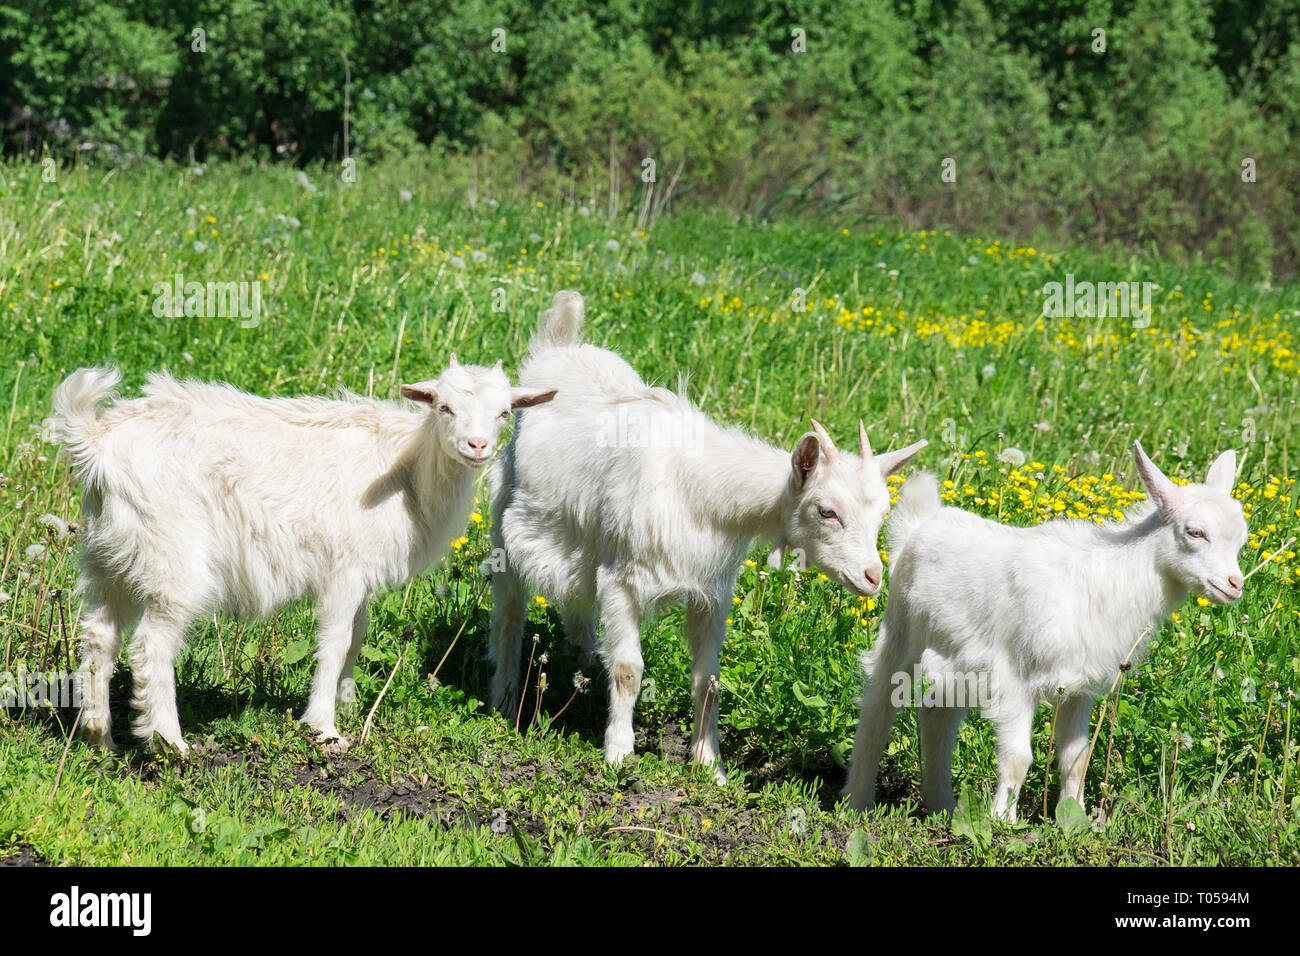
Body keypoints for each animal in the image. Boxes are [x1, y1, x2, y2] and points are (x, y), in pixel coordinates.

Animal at [48, 359, 556, 753]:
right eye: (444, 407)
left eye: (504, 412)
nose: (477, 446)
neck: (407, 470)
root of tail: (97, 443)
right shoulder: (345, 568)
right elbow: (335, 640)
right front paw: (325, 727)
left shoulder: (362, 573)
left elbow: (357, 635)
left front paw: (346, 701)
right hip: (173, 558)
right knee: (152, 644)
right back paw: (169, 742)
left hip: (109, 554)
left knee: (100, 635)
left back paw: (100, 737)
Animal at [488, 290, 927, 781]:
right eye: (826, 511)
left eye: (883, 515)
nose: (872, 577)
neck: (694, 486)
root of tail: (557, 348)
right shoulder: (621, 580)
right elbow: (628, 670)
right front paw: (619, 752)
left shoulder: (712, 591)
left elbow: (708, 680)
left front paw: (710, 765)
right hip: (506, 526)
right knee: (508, 614)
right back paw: (504, 700)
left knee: (577, 608)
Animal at [844, 442, 1248, 820]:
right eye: (1194, 532)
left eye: (1241, 540)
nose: (1234, 585)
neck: (1110, 579)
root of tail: (919, 524)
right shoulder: (1012, 678)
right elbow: (1018, 758)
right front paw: (1002, 820)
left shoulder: (1080, 689)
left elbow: (1076, 759)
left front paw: (1076, 818)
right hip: (900, 634)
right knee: (877, 708)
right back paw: (857, 801)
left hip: (953, 658)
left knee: (936, 715)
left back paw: (942, 804)